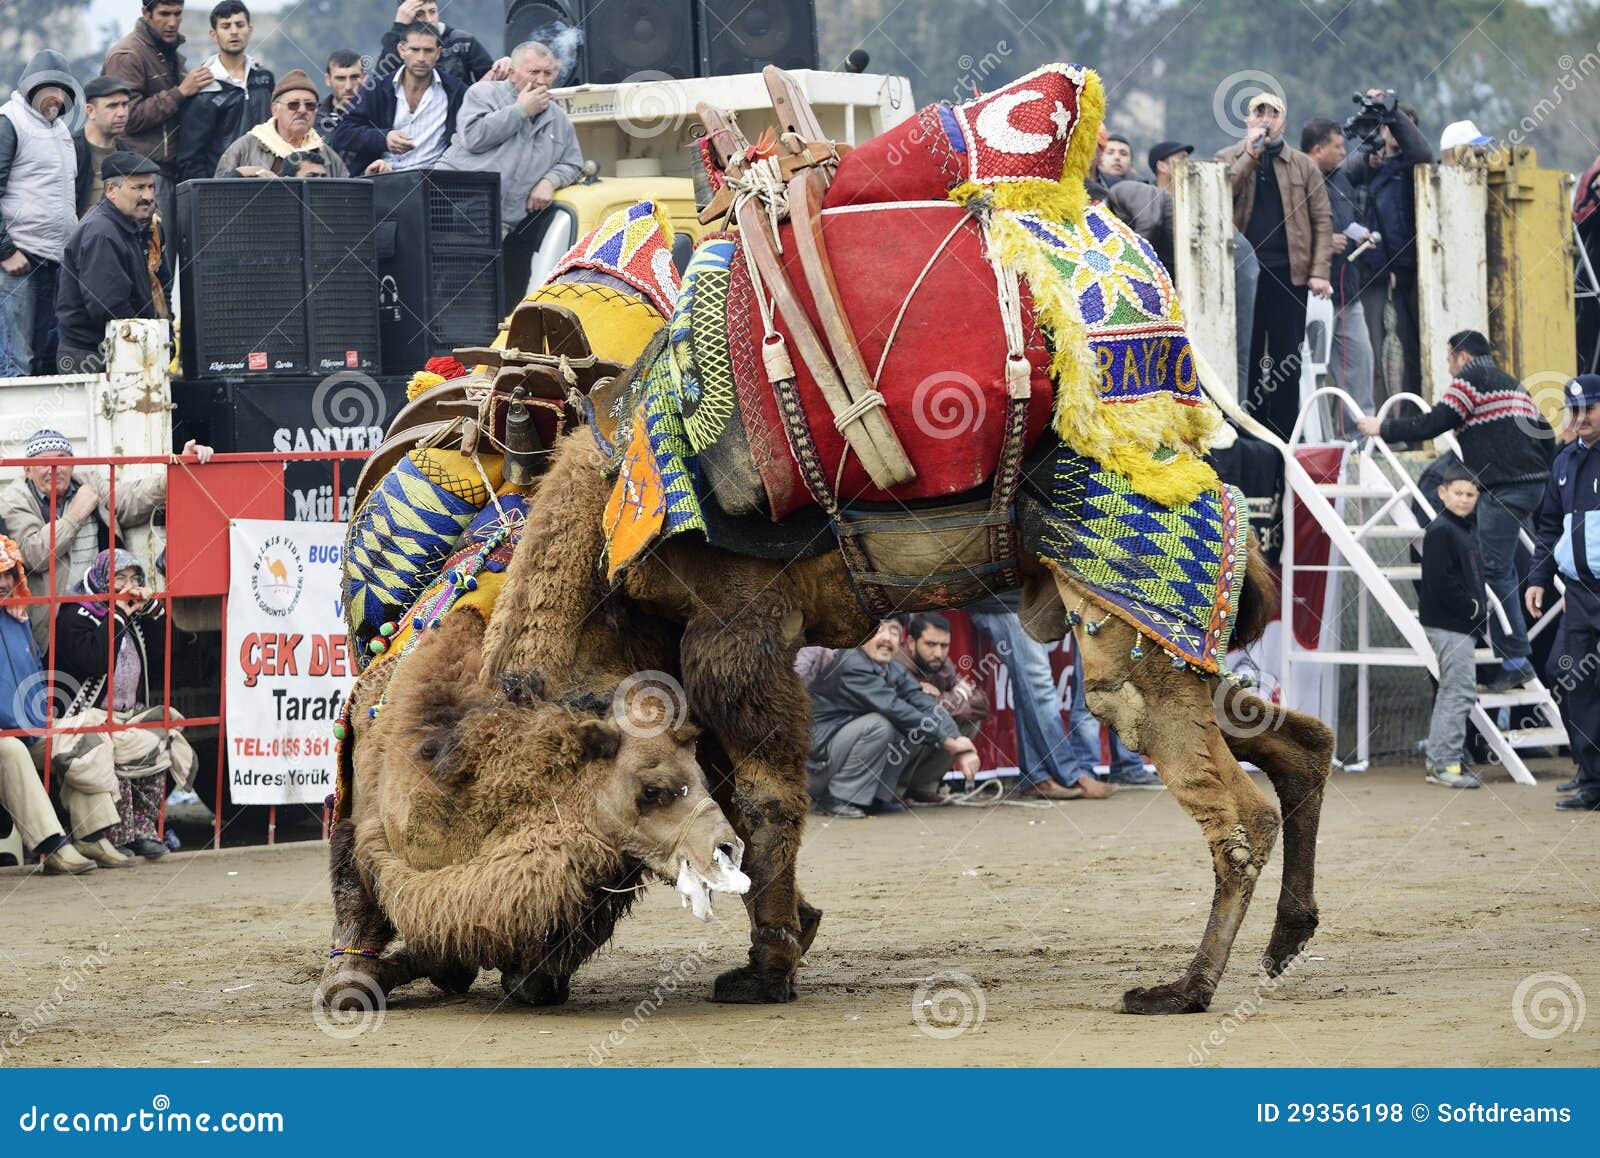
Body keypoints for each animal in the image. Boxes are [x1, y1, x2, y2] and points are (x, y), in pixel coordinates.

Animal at [318, 610, 751, 1011]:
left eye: (703, 775)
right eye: (651, 789)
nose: (728, 848)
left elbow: (525, 975)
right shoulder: (367, 832)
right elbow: (351, 963)